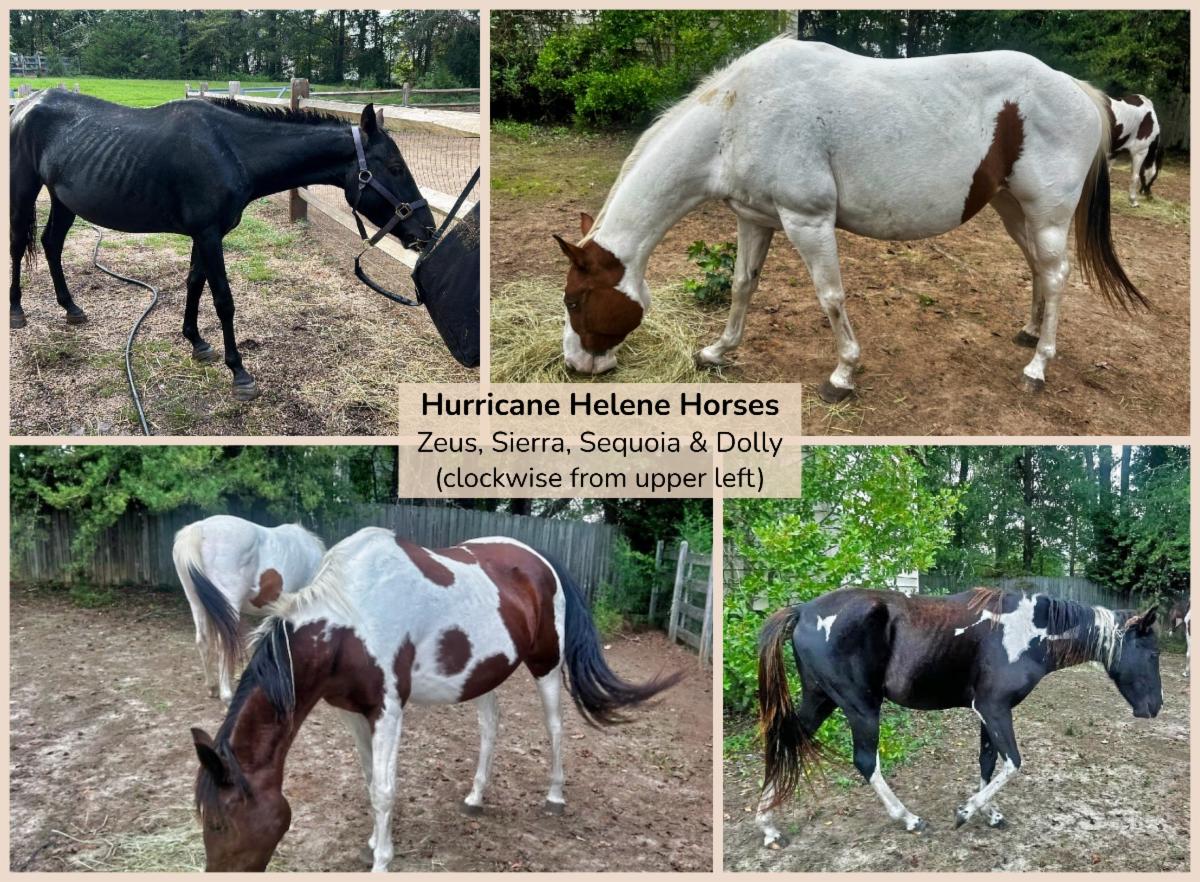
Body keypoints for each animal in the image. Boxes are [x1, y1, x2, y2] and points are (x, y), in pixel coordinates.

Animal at [10, 92, 437, 400]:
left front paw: (197, 343)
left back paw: (71, 308)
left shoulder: (204, 236)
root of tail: (27, 104)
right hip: (24, 190)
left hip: (63, 200)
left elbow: (194, 284)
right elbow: (223, 300)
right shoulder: (209, 234)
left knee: (51, 244)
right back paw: (17, 312)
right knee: (18, 246)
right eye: (395, 168)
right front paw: (239, 373)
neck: (230, 151)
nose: (428, 232)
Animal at [173, 515, 325, 704]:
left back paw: (212, 687)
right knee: (224, 644)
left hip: (196, 603)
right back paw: (226, 693)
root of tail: (200, 528)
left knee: (203, 641)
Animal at [190, 528, 681, 871]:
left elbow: (384, 790)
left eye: (219, 823)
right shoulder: (352, 713)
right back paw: (476, 796)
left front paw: (382, 861)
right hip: (484, 674)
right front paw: (375, 844)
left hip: (545, 666)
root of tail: (541, 560)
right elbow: (369, 781)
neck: (348, 619)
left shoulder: (388, 712)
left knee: (555, 727)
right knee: (490, 727)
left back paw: (555, 796)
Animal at [553, 40, 1146, 402]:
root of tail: (1079, 90)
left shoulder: (807, 221)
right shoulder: (755, 219)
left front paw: (842, 374)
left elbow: (831, 297)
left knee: (1057, 273)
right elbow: (743, 286)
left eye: (575, 301)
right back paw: (1029, 333)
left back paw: (1038, 366)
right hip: (1010, 208)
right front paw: (718, 352)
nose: (577, 367)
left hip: (1047, 214)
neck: (739, 115)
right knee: (1038, 269)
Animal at [754, 587, 1161, 847]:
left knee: (786, 741)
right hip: (860, 707)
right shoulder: (995, 709)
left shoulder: (989, 712)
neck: (1028, 632)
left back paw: (768, 826)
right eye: (1153, 653)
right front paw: (966, 811)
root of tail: (803, 610)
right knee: (866, 762)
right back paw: (908, 818)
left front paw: (989, 812)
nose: (1155, 707)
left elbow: (988, 762)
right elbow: (1013, 763)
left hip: (821, 700)